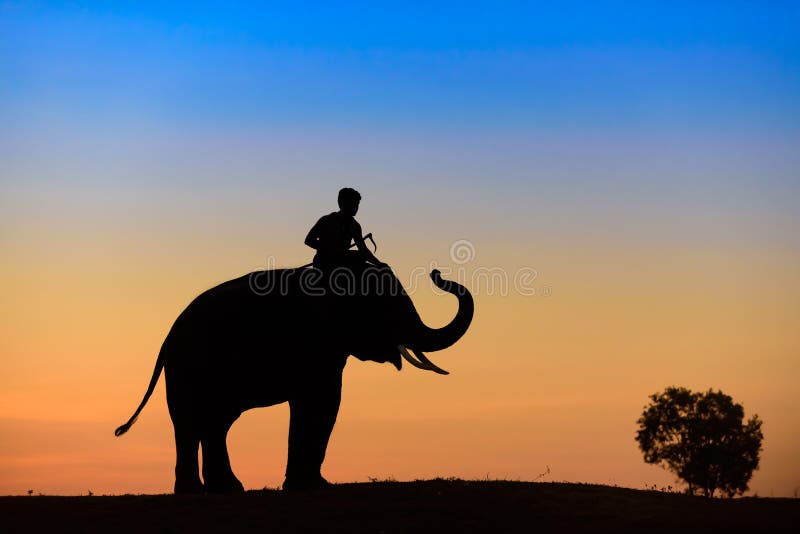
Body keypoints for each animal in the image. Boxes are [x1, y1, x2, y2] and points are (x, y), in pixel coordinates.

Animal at [114, 265, 473, 493]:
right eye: (388, 305)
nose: (437, 275)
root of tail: (168, 336)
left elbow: (324, 403)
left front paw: (312, 485)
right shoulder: (312, 345)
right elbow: (319, 402)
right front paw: (309, 486)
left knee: (214, 424)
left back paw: (222, 489)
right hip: (188, 368)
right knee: (193, 422)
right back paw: (202, 491)